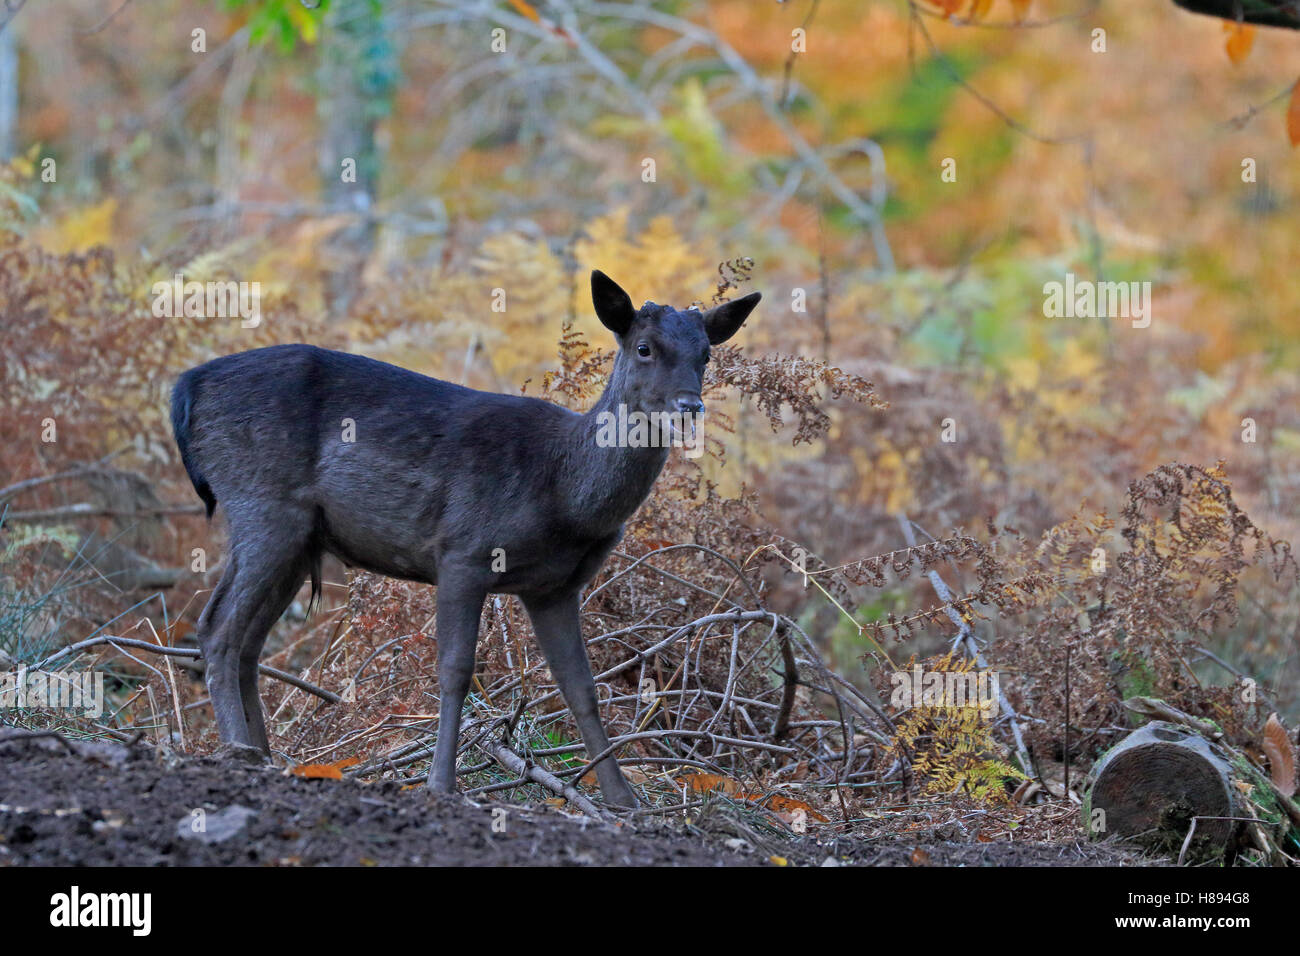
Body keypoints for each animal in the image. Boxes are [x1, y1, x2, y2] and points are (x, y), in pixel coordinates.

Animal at [170, 271, 761, 808]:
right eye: (643, 347)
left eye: (706, 355)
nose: (689, 406)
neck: (564, 491)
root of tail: (186, 388)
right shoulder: (463, 551)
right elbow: (455, 670)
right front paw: (440, 783)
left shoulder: (555, 587)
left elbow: (581, 686)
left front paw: (622, 799)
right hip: (262, 503)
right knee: (217, 628)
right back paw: (239, 752)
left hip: (298, 540)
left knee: (249, 643)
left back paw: (267, 757)